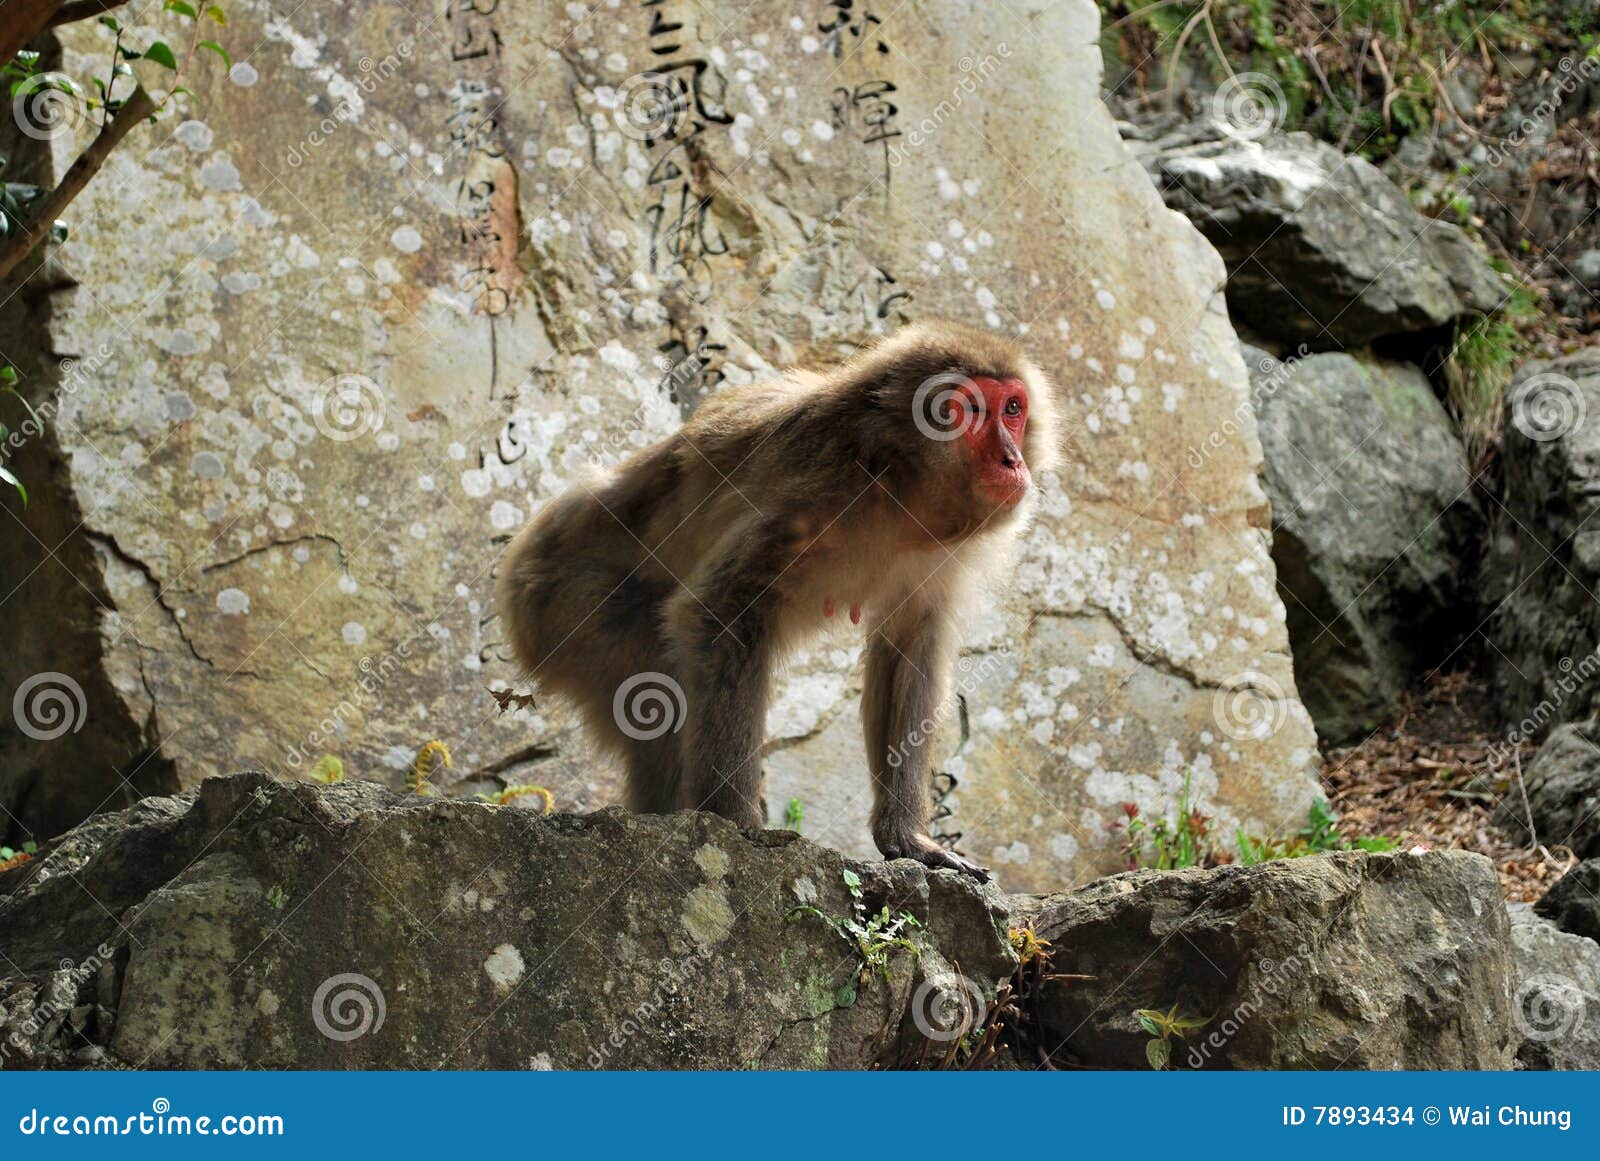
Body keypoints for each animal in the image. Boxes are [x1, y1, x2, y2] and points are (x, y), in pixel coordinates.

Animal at [495, 319, 1058, 880]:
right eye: (970, 410)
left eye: (1012, 408)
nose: (1012, 460)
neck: (896, 482)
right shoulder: (815, 489)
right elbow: (719, 612)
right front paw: (733, 825)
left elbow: (909, 648)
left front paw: (907, 838)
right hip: (562, 605)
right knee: (654, 682)